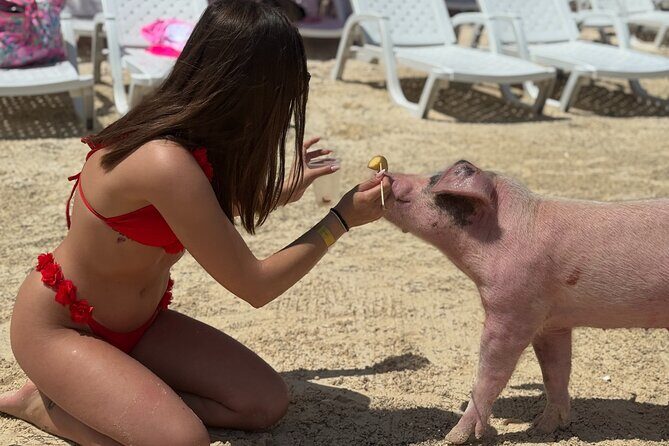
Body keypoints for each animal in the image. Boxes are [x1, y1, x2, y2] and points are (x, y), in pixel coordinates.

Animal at [384, 160, 669, 444]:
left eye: (434, 180)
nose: (387, 174)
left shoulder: (513, 308)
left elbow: (491, 373)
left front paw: (453, 437)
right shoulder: (552, 322)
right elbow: (555, 371)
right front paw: (541, 429)